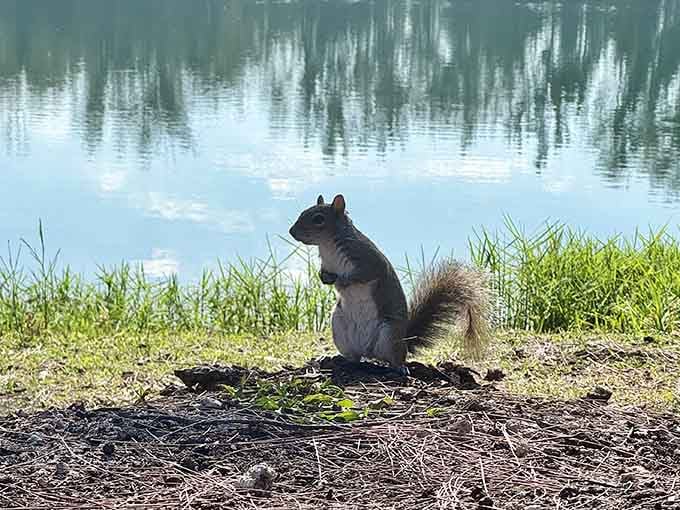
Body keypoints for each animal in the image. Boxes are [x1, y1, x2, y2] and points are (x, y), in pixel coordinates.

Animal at [289, 194, 490, 374]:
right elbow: (324, 274)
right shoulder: (327, 265)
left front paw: (343, 281)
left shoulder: (369, 259)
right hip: (339, 328)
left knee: (394, 358)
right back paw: (335, 358)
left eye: (318, 219)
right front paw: (325, 279)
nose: (291, 232)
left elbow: (364, 274)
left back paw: (400, 368)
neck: (328, 245)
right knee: (354, 357)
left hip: (390, 334)